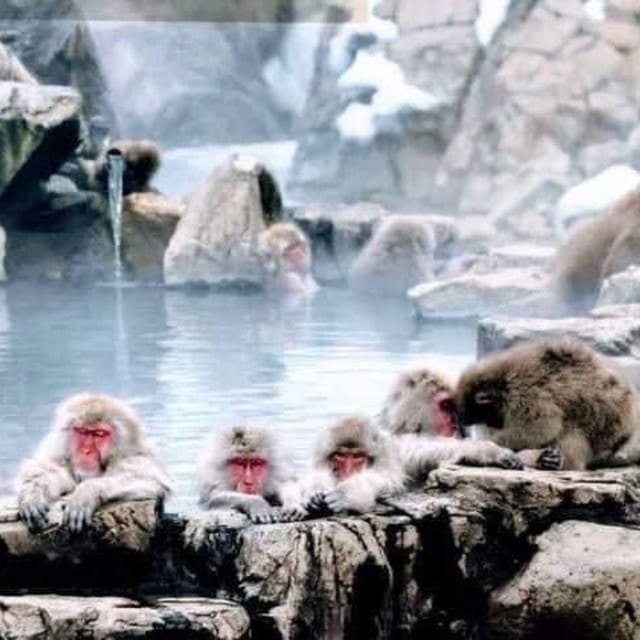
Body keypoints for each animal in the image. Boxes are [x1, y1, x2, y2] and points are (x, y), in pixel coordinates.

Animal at [16, 393, 170, 534]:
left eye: (99, 434)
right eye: (82, 431)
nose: (86, 451)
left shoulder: (137, 459)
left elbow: (152, 482)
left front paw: (86, 492)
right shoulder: (57, 453)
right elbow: (50, 472)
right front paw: (33, 492)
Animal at [456, 339, 640, 471]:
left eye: (472, 412)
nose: (464, 422)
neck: (502, 383)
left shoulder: (525, 395)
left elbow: (542, 426)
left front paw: (498, 443)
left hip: (607, 428)